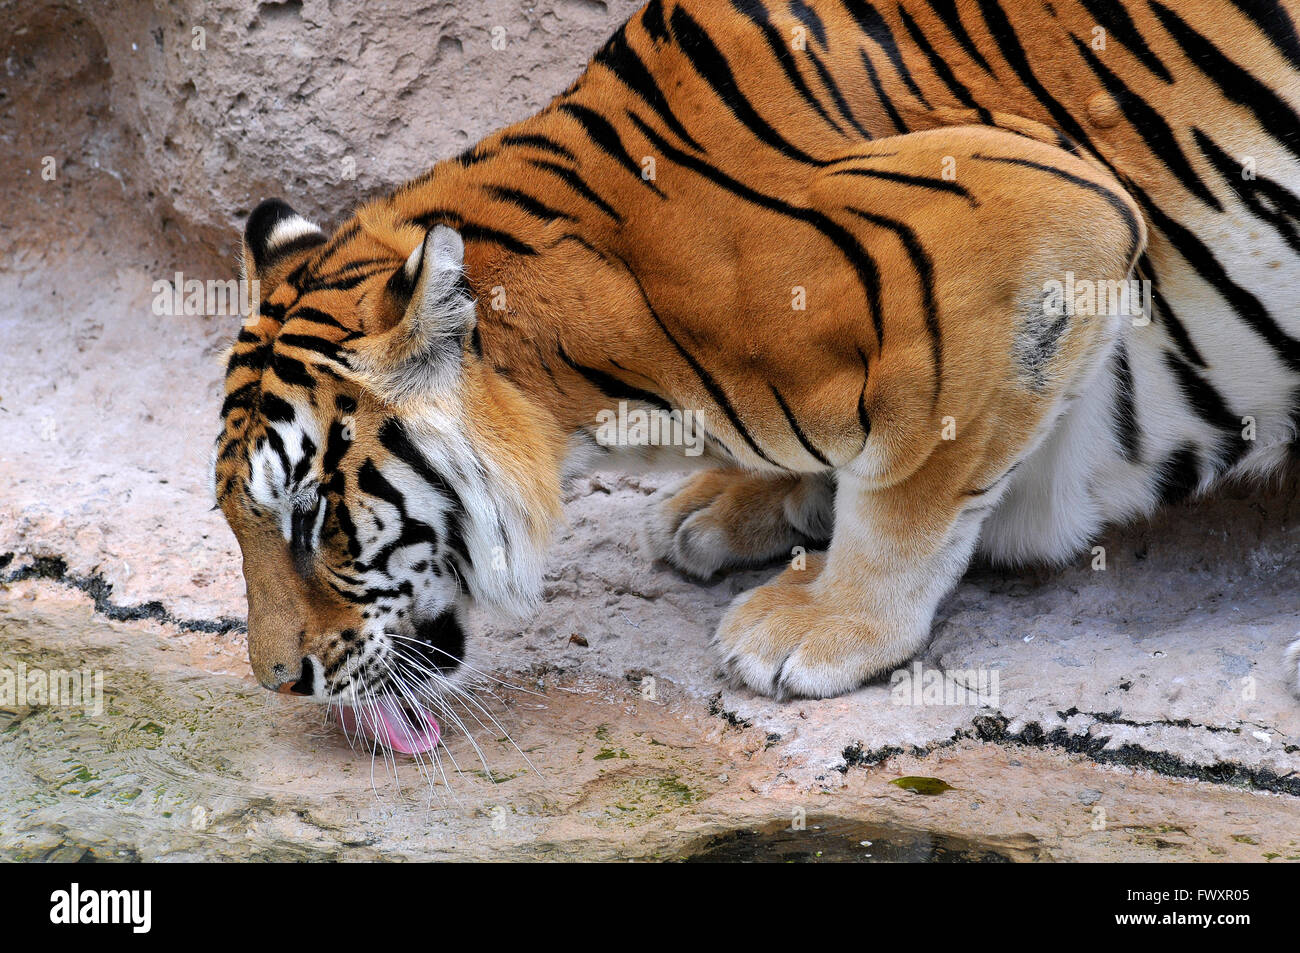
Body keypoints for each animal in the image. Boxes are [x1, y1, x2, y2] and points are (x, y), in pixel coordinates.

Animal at [212, 0, 1300, 747]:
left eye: (311, 517)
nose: (276, 677)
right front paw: (744, 503)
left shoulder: (1038, 222)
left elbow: (910, 485)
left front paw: (820, 624)